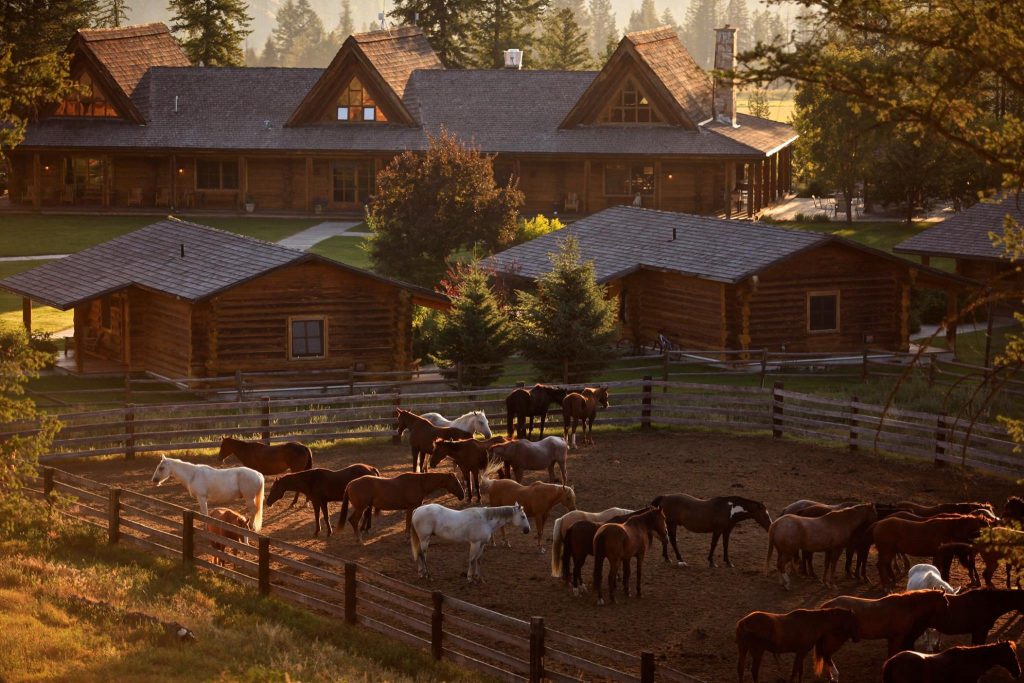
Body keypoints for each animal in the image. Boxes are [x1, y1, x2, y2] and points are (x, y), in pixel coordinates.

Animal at [821, 590, 950, 657]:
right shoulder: (898, 637)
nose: (947, 618)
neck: (906, 606)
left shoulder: (892, 638)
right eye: (946, 602)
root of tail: (827, 605)